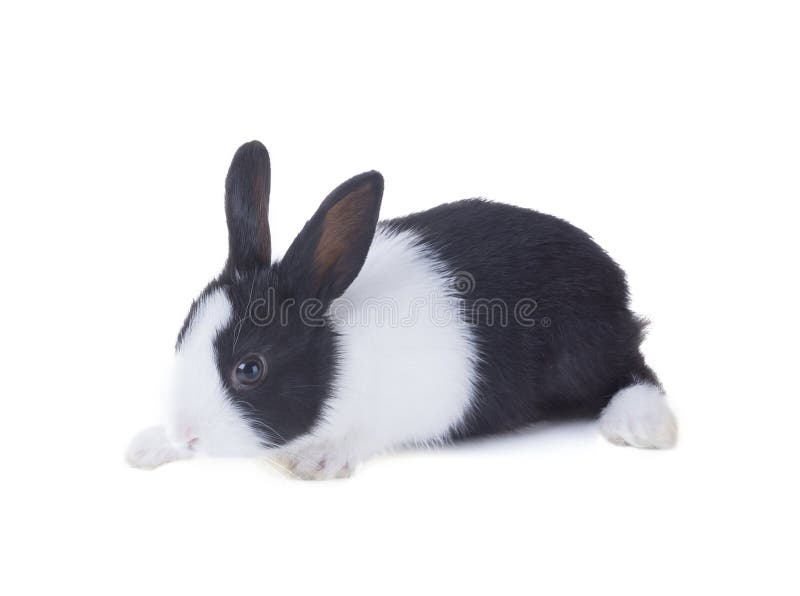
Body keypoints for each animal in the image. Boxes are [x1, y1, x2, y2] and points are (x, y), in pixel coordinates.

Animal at [126, 140, 677, 479]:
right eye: (182, 336)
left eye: (250, 369)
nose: (188, 435)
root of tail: (614, 281)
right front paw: (149, 446)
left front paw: (318, 462)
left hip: (584, 354)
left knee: (636, 371)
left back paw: (640, 426)